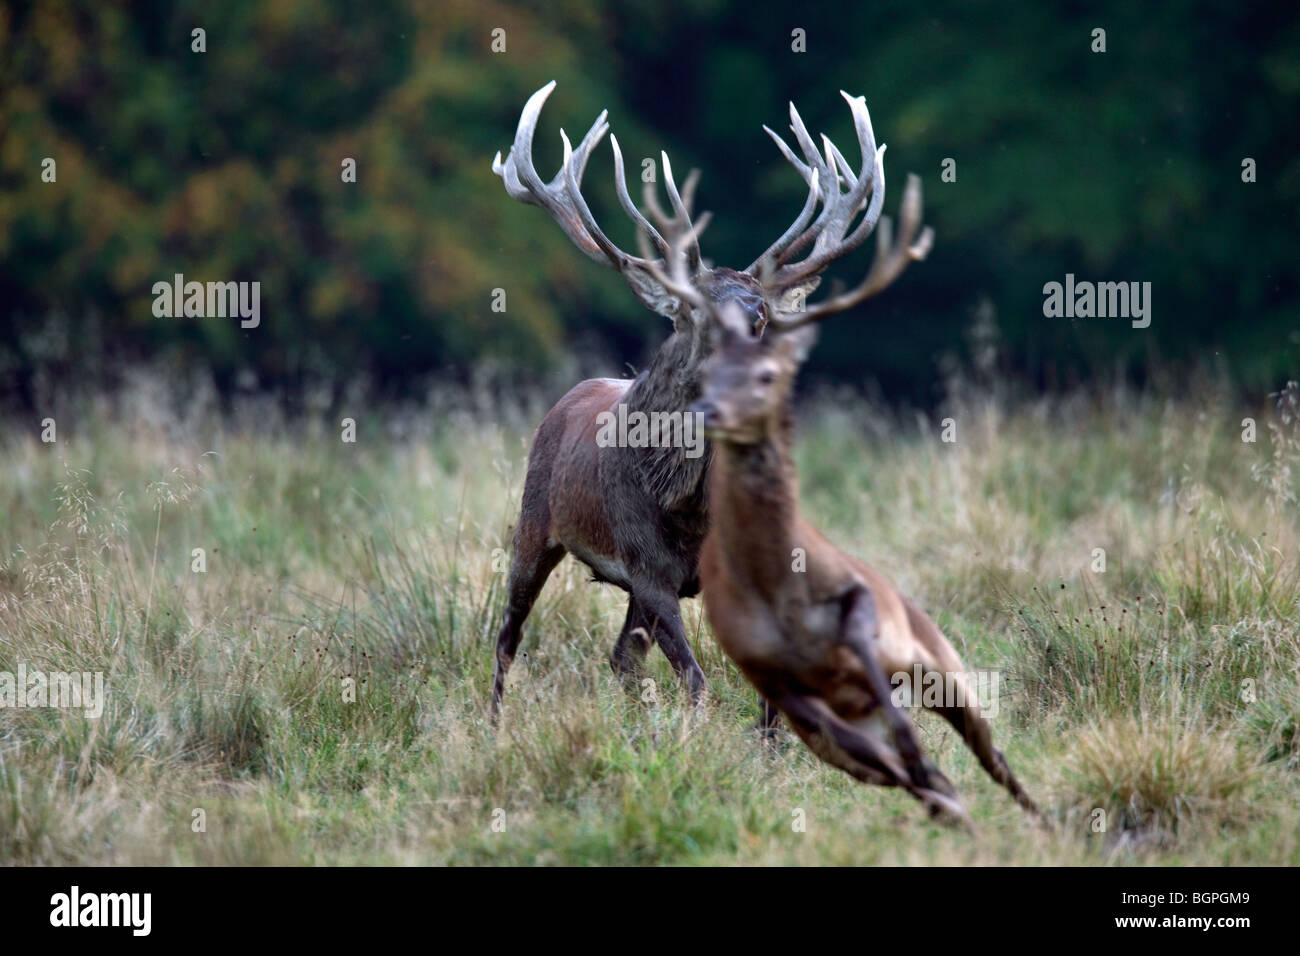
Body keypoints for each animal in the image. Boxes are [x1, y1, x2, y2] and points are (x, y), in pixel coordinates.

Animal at [488, 83, 915, 723]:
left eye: (761, 314)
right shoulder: (648, 567)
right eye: (696, 313)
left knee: (621, 657)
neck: (693, 510)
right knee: (508, 635)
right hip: (536, 523)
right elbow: (696, 679)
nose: (751, 349)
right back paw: (493, 724)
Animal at [644, 184, 1040, 822]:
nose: (709, 409)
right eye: (706, 344)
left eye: (767, 372)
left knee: (987, 754)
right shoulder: (774, 676)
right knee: (916, 768)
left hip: (946, 666)